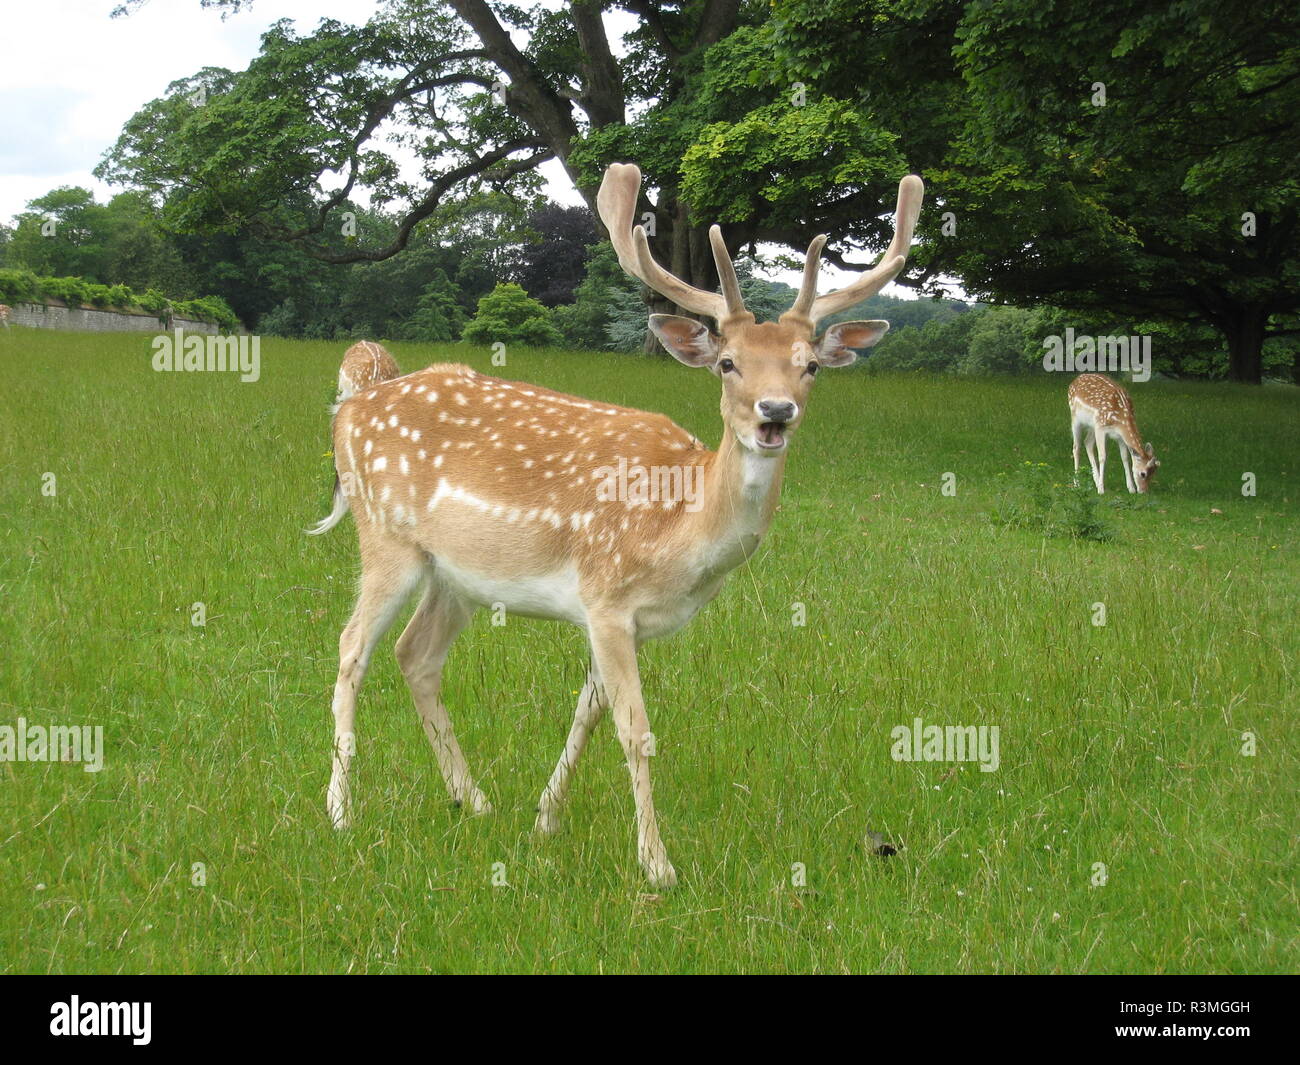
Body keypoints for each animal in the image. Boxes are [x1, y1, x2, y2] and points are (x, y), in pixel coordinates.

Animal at [308, 162, 923, 887]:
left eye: (811, 366)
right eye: (729, 363)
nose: (775, 413)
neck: (679, 531)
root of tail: (353, 401)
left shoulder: (618, 617)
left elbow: (589, 712)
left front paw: (544, 820)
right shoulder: (605, 596)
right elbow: (635, 729)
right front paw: (657, 867)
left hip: (455, 574)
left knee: (415, 654)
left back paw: (474, 800)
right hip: (386, 537)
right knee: (352, 646)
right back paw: (340, 811)